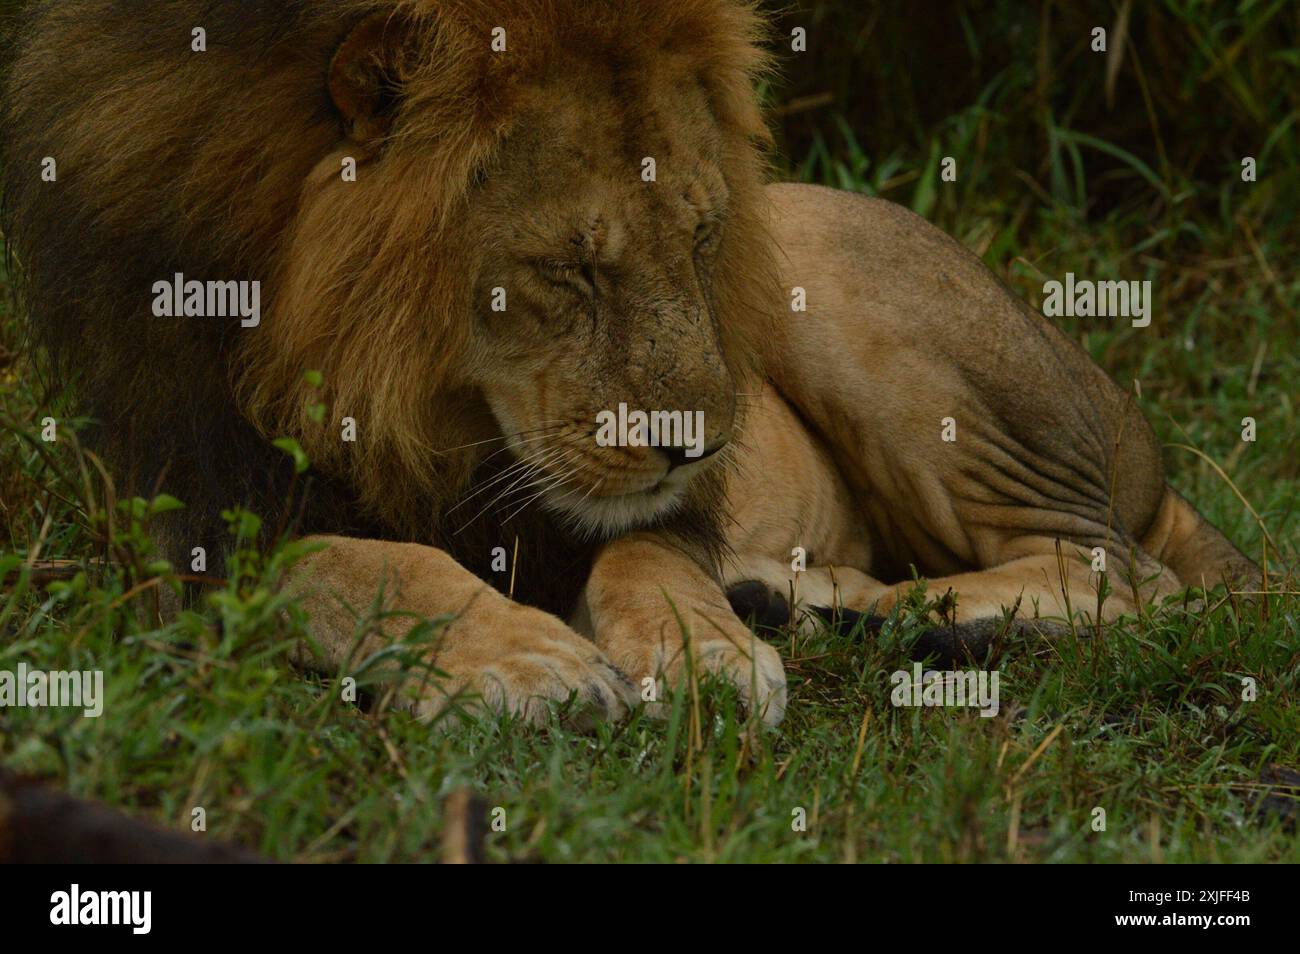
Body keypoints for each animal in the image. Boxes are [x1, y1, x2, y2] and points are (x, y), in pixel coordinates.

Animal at [2, 0, 1260, 729]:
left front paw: (708, 654)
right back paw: (814, 601)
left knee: (1120, 576)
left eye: (701, 239)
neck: (426, 409)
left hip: (836, 274)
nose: (698, 446)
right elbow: (358, 564)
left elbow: (646, 557)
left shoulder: (653, 508)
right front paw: (528, 660)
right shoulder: (180, 526)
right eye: (569, 269)